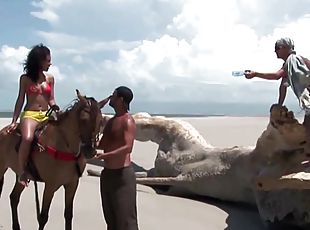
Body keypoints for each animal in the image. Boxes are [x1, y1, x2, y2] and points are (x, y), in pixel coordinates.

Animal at [0, 90, 102, 230]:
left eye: (100, 121)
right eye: (83, 119)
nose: (90, 151)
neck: (65, 147)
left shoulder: (72, 184)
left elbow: (68, 215)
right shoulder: (50, 185)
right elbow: (43, 217)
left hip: (21, 176)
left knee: (14, 197)